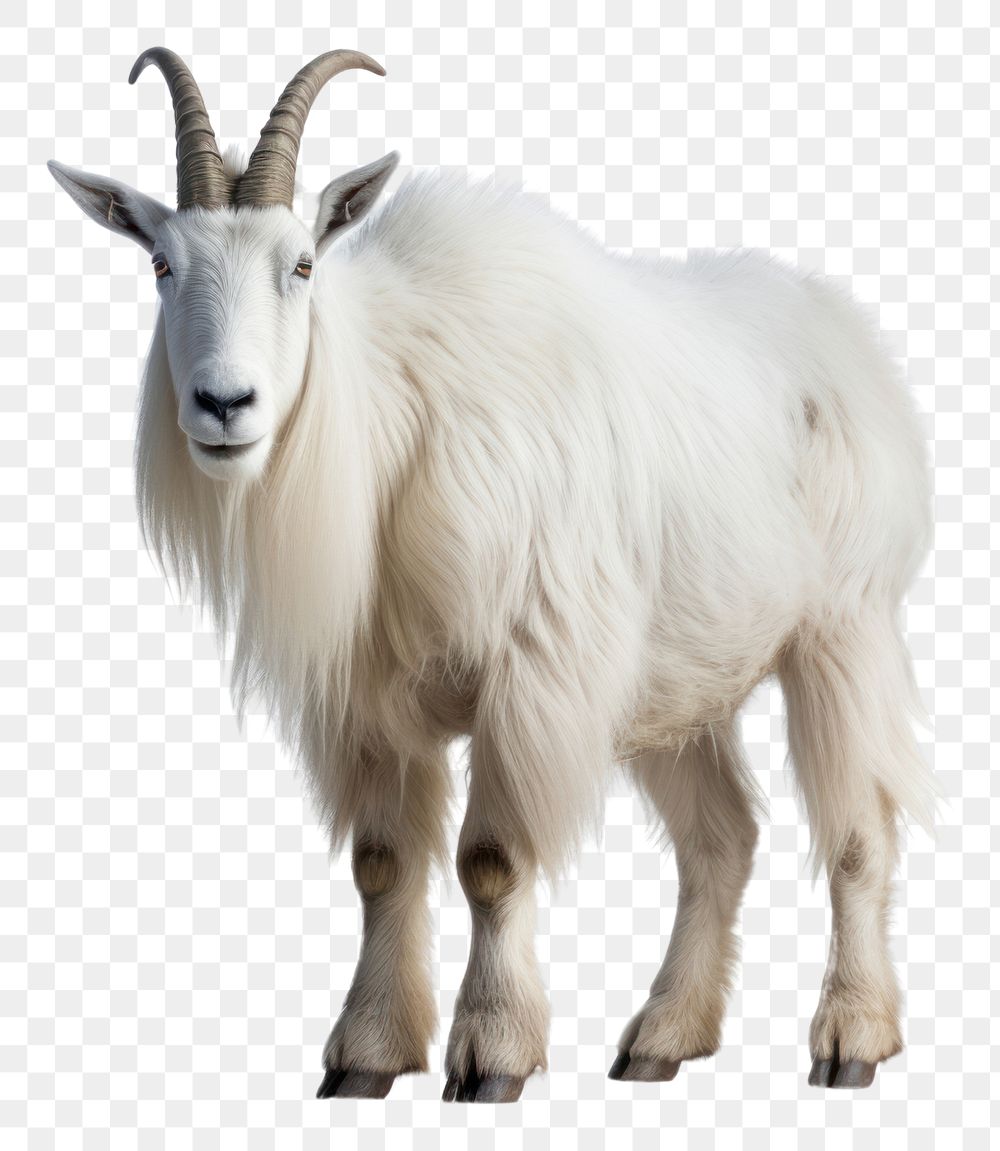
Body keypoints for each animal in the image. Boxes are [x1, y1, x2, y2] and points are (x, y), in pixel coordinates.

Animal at [49, 47, 937, 1102]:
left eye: (300, 264)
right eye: (161, 264)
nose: (225, 404)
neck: (393, 413)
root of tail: (854, 347)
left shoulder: (534, 670)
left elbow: (492, 860)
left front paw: (492, 1055)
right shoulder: (370, 698)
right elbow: (382, 861)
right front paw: (367, 1053)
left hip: (845, 628)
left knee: (857, 832)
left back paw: (850, 1038)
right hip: (676, 674)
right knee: (720, 838)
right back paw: (661, 1038)